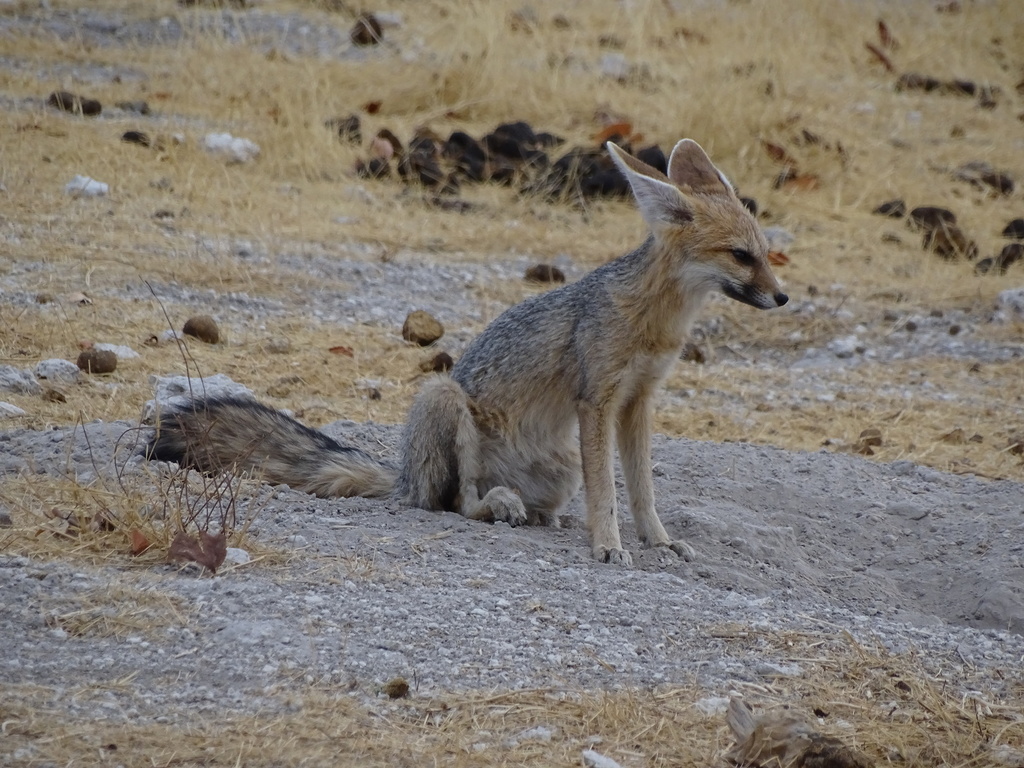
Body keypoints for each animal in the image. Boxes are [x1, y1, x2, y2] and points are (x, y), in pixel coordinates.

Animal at [147, 138, 788, 565]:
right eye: (740, 256)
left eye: (765, 252)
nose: (782, 297)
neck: (656, 322)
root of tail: (403, 476)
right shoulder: (598, 401)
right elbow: (609, 491)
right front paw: (608, 546)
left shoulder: (638, 403)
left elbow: (643, 489)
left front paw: (658, 540)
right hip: (444, 398)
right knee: (455, 500)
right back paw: (494, 505)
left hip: (561, 465)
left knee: (512, 503)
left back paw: (531, 511)